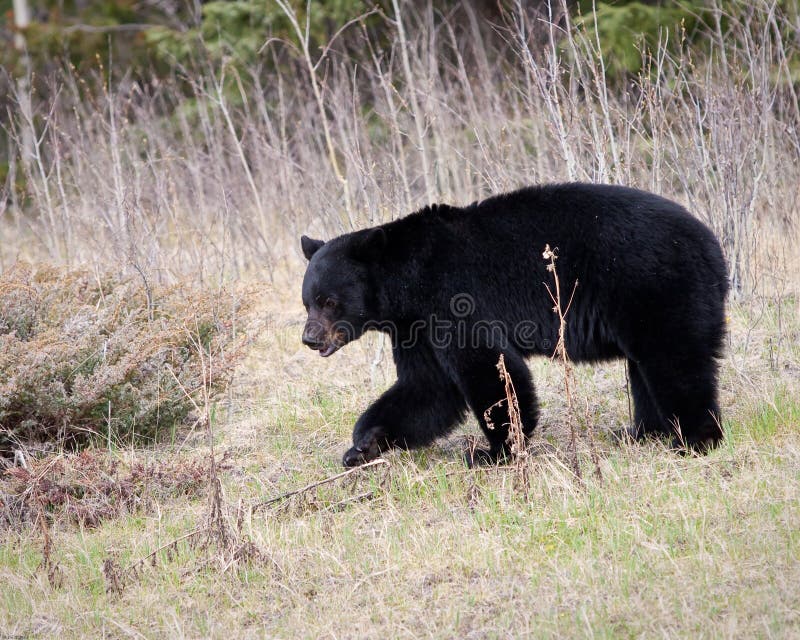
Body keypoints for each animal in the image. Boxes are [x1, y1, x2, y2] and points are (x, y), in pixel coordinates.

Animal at [300, 183, 728, 467]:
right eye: (307, 300)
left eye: (329, 301)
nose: (310, 338)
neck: (406, 280)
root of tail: (713, 246)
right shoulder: (414, 326)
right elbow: (428, 388)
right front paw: (363, 444)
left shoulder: (452, 297)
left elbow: (489, 367)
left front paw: (495, 451)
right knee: (645, 367)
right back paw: (640, 433)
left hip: (656, 286)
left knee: (675, 360)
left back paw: (695, 439)